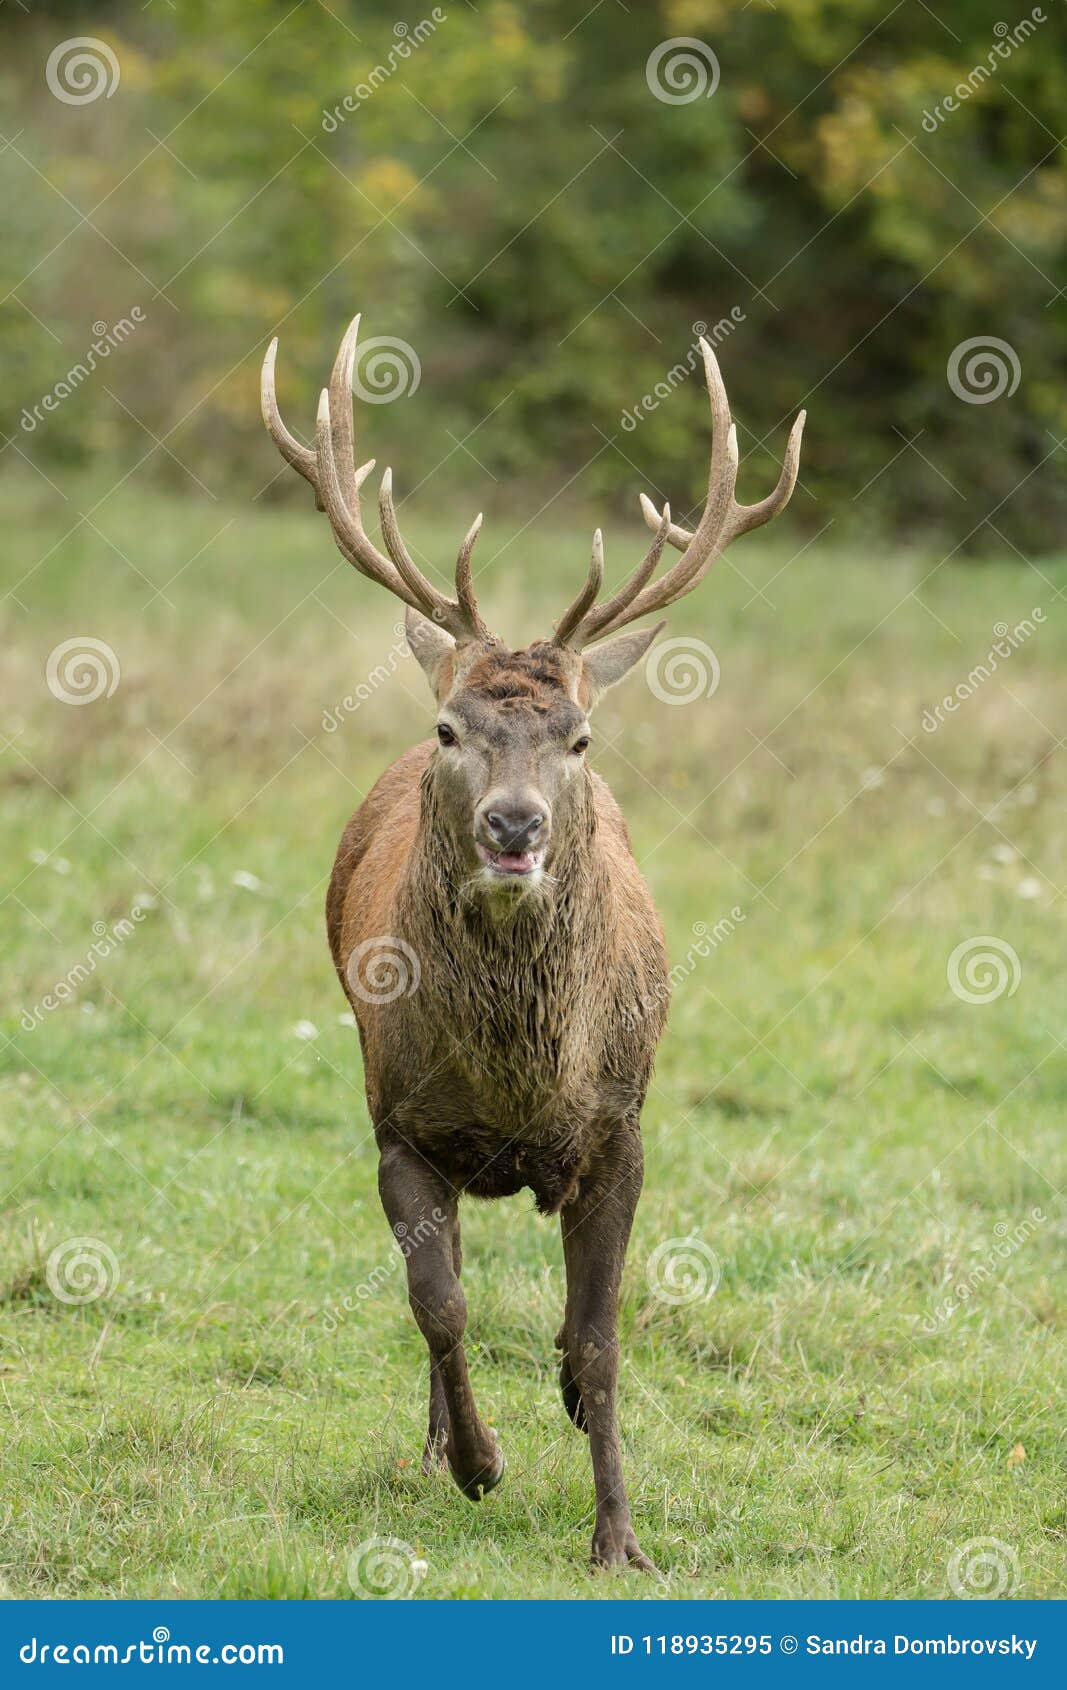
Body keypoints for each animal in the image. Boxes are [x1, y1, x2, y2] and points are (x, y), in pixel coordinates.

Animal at [261, 314, 805, 1570]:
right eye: (449, 728)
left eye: (579, 736)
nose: (514, 825)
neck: (523, 1078)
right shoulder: (397, 1119)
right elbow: (440, 1301)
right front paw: (476, 1461)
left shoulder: (620, 1124)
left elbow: (599, 1336)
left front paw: (619, 1536)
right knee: (449, 1272)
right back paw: (437, 1447)